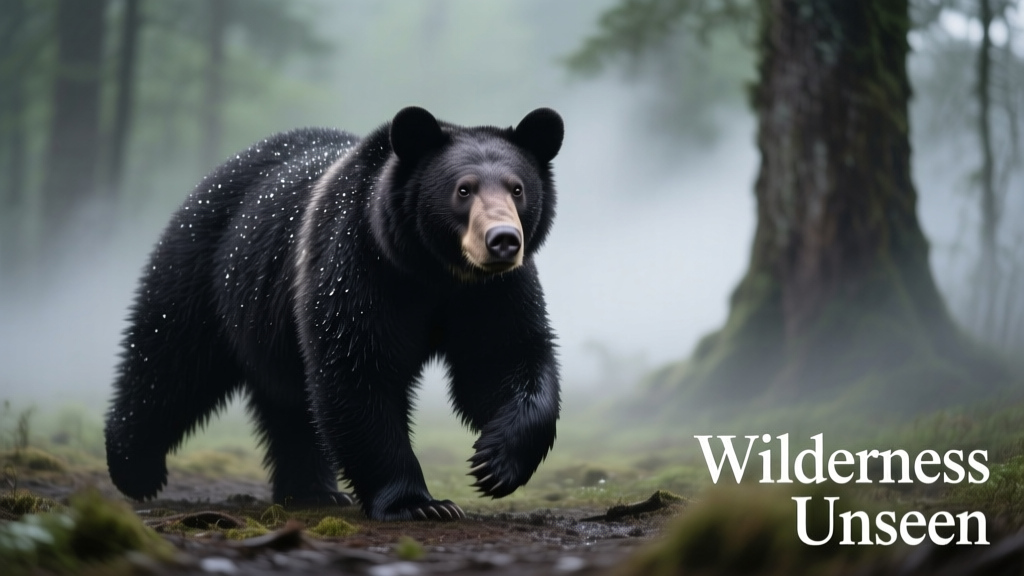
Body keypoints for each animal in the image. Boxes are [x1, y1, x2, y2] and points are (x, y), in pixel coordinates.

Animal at [104, 107, 563, 521]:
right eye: (464, 189)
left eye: (517, 188)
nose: (502, 240)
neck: (430, 270)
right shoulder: (356, 265)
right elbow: (357, 370)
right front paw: (419, 503)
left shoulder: (492, 293)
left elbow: (503, 360)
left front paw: (495, 462)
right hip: (209, 267)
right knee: (169, 359)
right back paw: (135, 467)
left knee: (290, 405)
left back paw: (312, 490)